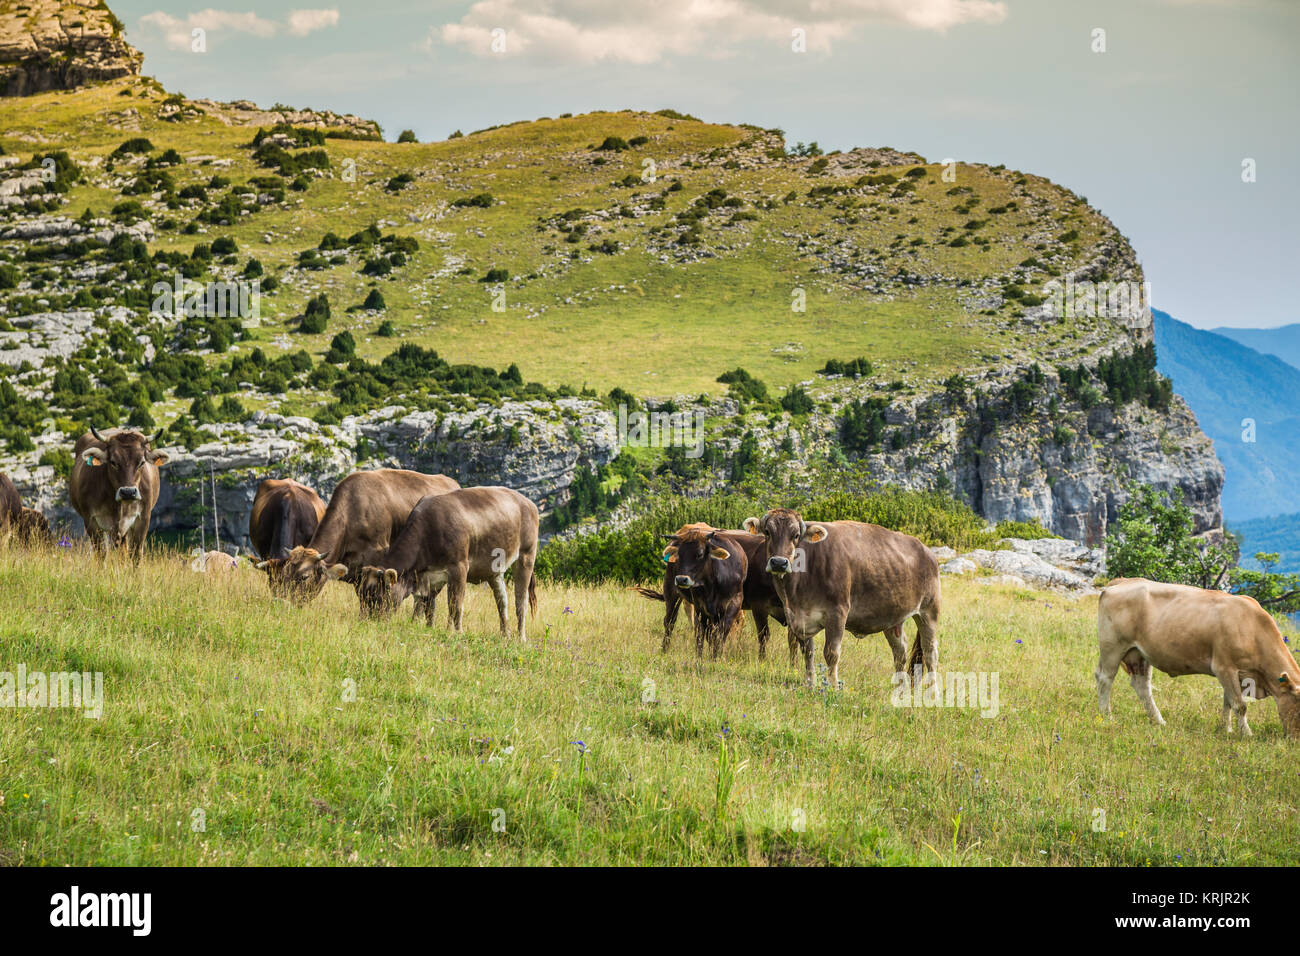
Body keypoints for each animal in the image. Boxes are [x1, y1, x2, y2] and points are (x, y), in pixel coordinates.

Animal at [68, 427, 168, 561]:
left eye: (142, 462)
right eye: (113, 462)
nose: (128, 492)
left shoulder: (143, 519)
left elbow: (135, 554)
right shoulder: (91, 520)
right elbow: (101, 553)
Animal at [354, 486, 539, 639]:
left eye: (376, 595)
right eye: (360, 595)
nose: (365, 623)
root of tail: (527, 502)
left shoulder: (459, 567)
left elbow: (455, 604)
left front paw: (457, 631)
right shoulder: (428, 578)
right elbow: (427, 607)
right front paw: (424, 627)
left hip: (526, 556)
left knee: (520, 601)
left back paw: (520, 637)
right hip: (494, 570)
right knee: (502, 600)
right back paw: (505, 633)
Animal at [636, 523, 789, 659]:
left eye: (699, 554)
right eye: (679, 555)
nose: (681, 579)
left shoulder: (733, 605)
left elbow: (720, 633)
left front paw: (715, 657)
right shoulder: (702, 607)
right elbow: (700, 633)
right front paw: (700, 658)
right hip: (671, 593)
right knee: (670, 622)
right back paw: (664, 650)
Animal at [743, 508, 941, 689]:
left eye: (796, 535)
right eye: (767, 532)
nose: (779, 563)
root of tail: (926, 551)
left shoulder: (837, 612)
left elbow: (831, 653)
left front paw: (833, 687)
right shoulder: (799, 618)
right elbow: (808, 652)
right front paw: (810, 685)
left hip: (929, 611)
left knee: (930, 654)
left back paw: (933, 690)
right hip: (893, 619)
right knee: (900, 652)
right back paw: (900, 687)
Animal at [1097, 577, 1300, 737]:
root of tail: (1121, 582)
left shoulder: (1233, 673)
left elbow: (1228, 701)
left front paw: (1226, 729)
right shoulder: (1223, 667)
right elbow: (1239, 705)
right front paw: (1247, 734)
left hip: (1139, 654)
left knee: (1142, 686)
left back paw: (1159, 721)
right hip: (1112, 646)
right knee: (1105, 678)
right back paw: (1106, 716)